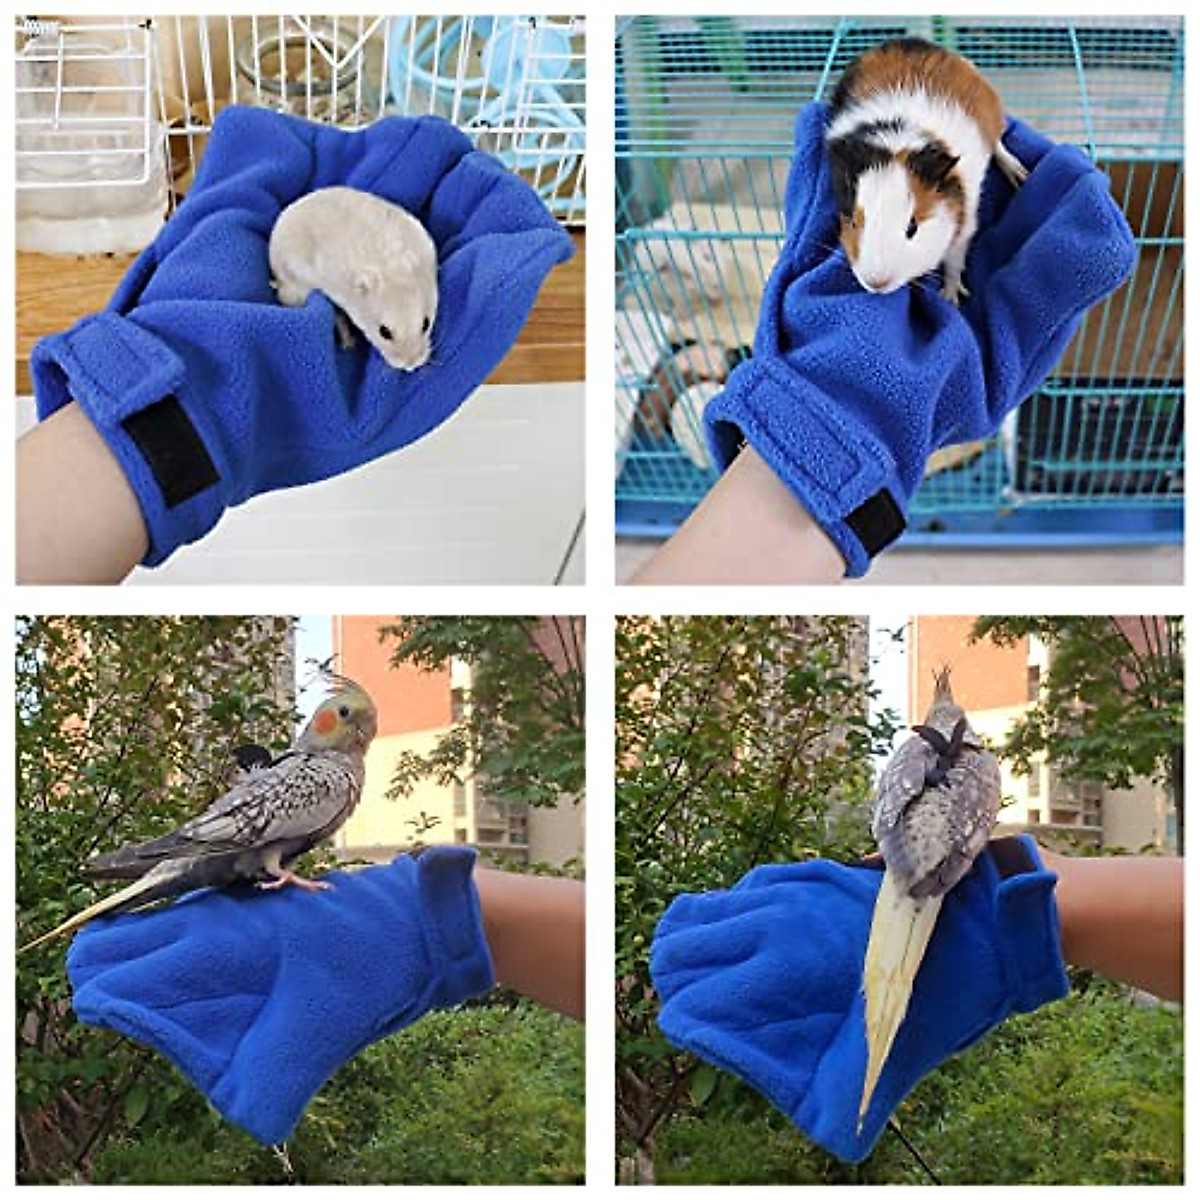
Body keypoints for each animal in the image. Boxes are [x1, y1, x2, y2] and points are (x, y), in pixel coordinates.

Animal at [269, 186, 438, 370]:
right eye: (384, 332)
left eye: (426, 324)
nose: (411, 366)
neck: (390, 267)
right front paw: (349, 343)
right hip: (296, 288)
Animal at [825, 37, 1028, 303]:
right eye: (854, 222)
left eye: (913, 227)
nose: (877, 283)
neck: (897, 144)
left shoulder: (964, 230)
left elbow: (954, 262)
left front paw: (950, 298)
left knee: (999, 146)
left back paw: (1020, 175)